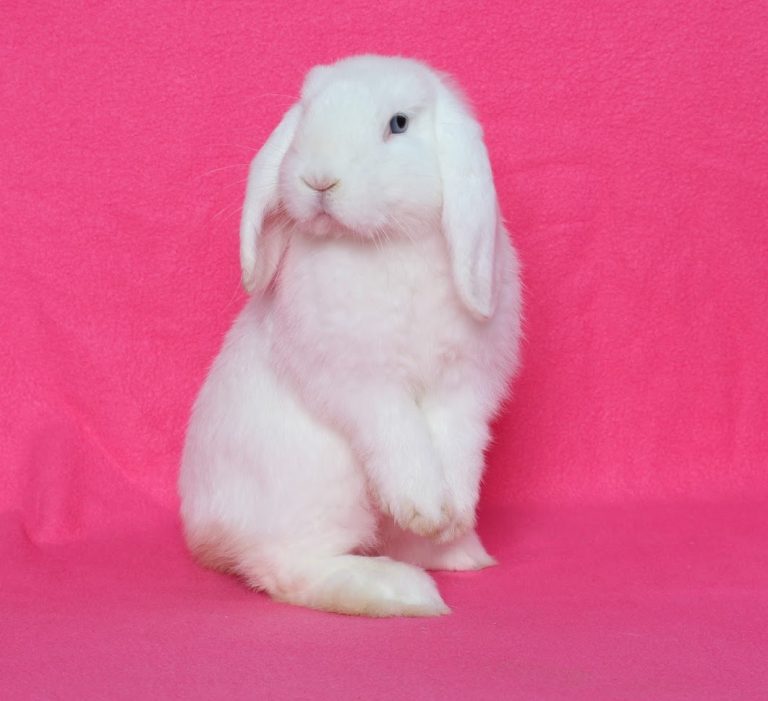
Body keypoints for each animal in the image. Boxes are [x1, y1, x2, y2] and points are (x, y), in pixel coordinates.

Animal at [179, 54, 522, 617]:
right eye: (307, 111)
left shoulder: (466, 387)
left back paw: (457, 553)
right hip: (320, 485)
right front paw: (425, 505)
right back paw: (403, 591)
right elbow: (398, 435)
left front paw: (452, 514)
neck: (389, 244)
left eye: (398, 124)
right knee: (289, 569)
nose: (319, 179)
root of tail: (204, 533)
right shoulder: (363, 384)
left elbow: (458, 445)